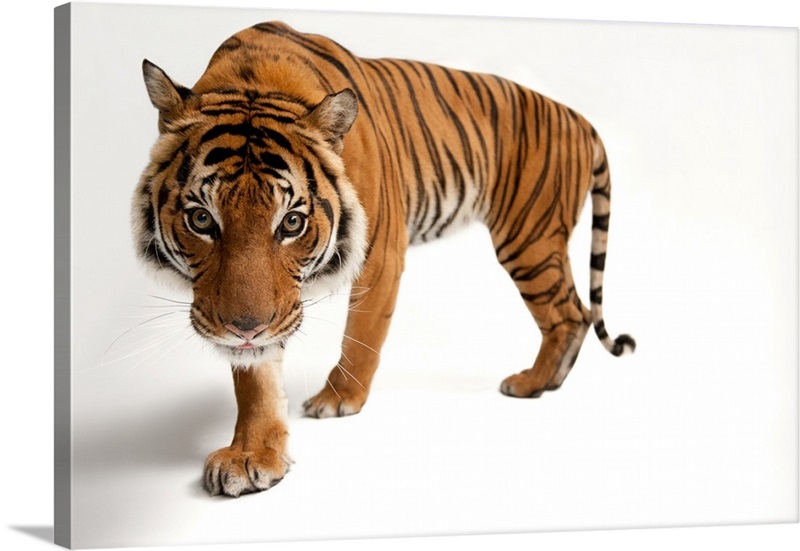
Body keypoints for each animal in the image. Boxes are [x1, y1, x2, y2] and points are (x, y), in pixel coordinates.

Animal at [132, 21, 635, 497]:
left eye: (291, 223)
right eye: (201, 218)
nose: (245, 329)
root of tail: (579, 118)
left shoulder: (380, 255)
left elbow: (361, 335)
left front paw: (337, 400)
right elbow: (256, 378)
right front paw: (252, 455)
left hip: (529, 238)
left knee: (570, 312)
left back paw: (530, 383)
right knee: (577, 311)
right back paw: (548, 382)